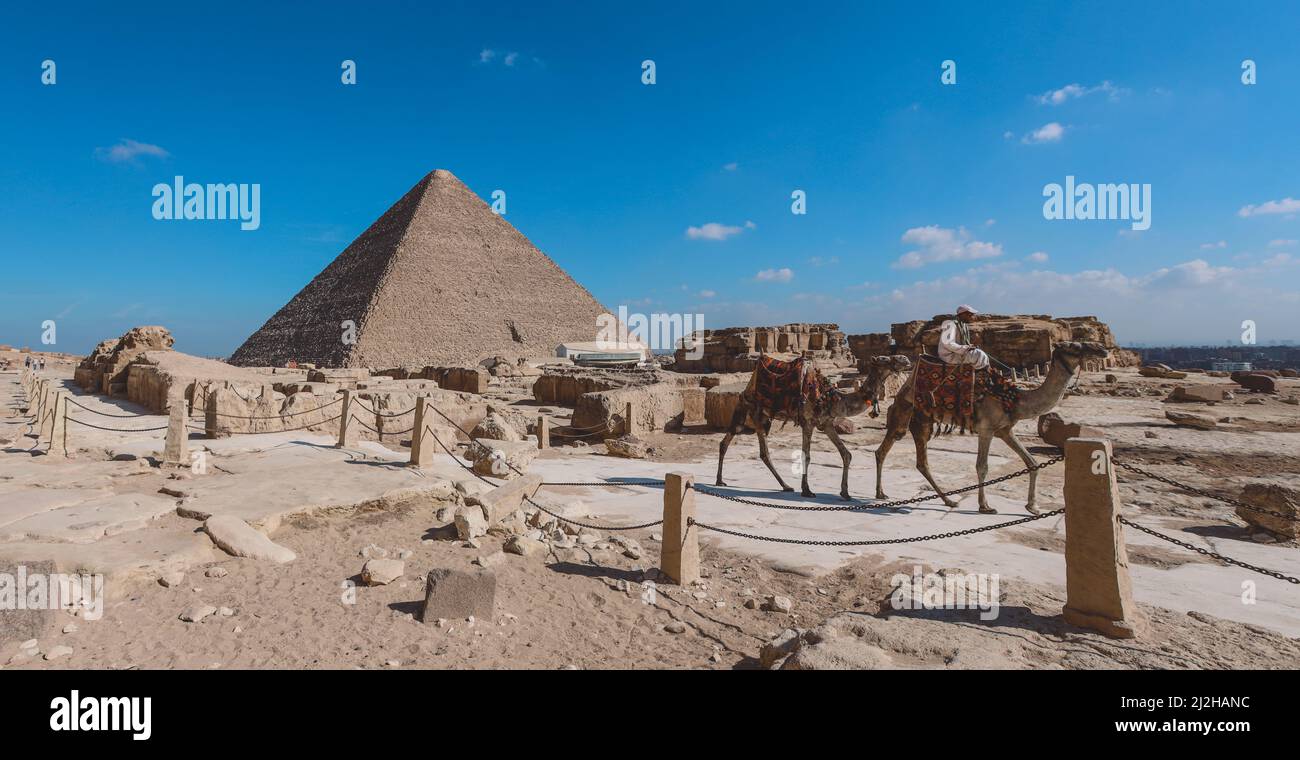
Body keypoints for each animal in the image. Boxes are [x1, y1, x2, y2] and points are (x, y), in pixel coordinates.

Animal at [716, 354, 912, 500]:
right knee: (755, 449)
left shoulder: (826, 423)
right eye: (884, 358)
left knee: (733, 443)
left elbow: (846, 454)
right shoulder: (808, 422)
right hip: (753, 412)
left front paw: (845, 492)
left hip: (756, 415)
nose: (905, 359)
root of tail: (746, 388)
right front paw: (807, 490)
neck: (832, 399)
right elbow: (807, 456)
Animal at [874, 341, 1109, 514]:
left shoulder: (1005, 430)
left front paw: (1032, 506)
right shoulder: (986, 429)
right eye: (1074, 346)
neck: (1014, 400)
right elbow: (982, 466)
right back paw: (884, 494)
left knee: (914, 461)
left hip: (920, 420)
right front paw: (985, 506)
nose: (1102, 349)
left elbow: (1031, 462)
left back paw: (946, 501)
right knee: (890, 451)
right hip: (906, 413)